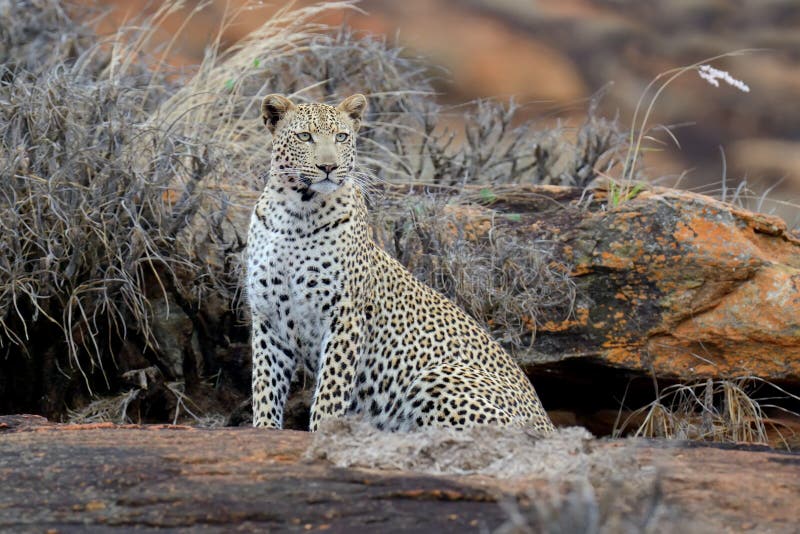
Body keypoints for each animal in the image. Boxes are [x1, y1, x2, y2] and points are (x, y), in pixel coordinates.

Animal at [246, 93, 554, 433]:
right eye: (304, 137)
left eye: (341, 137)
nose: (328, 167)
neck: (296, 214)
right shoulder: (267, 316)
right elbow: (265, 383)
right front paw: (264, 429)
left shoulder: (345, 314)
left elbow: (331, 387)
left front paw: (323, 432)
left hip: (437, 377)